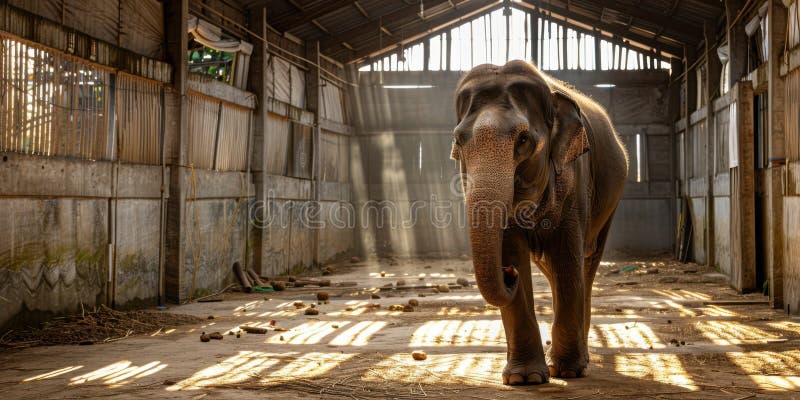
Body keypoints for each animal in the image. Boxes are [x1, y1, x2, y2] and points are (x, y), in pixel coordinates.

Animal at [450, 60, 628, 385]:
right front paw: (525, 378)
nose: (508, 273)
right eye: (458, 140)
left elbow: (568, 254)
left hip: (610, 201)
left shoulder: (575, 175)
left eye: (523, 139)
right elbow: (511, 246)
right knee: (553, 269)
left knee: (586, 265)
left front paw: (568, 371)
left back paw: (580, 360)